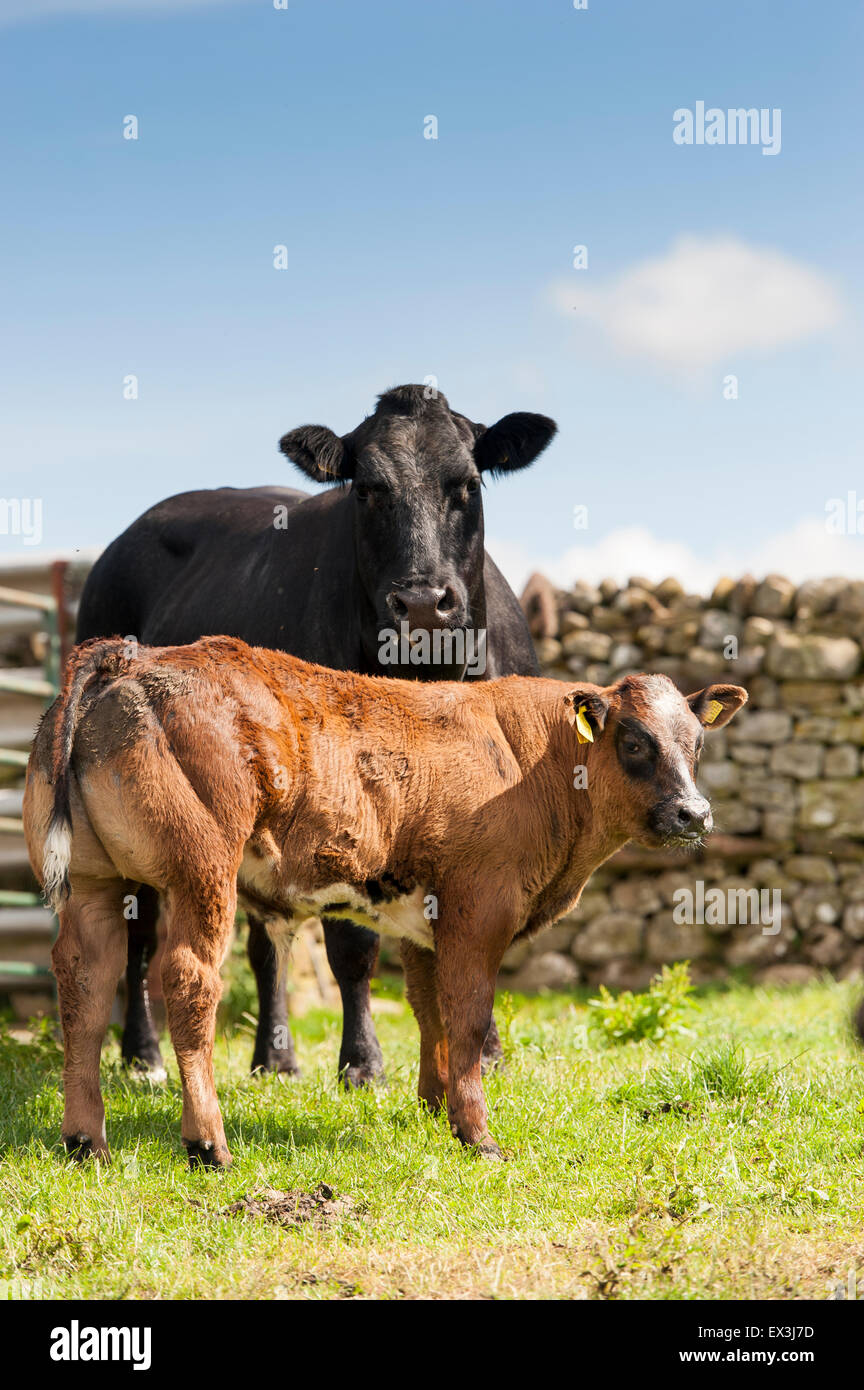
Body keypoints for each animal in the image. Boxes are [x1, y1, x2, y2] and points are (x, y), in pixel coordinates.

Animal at [23, 634, 747, 1166]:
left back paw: (85, 1140)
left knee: (85, 984)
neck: (535, 761)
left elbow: (430, 1012)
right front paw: (477, 1135)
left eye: (696, 744)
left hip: (92, 885)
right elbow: (469, 1019)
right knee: (186, 979)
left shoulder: (421, 918)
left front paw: (434, 1106)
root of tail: (134, 656)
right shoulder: (478, 911)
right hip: (200, 873)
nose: (695, 813)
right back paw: (208, 1143)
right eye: (635, 742)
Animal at [75, 385, 557, 1085]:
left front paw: (486, 1051)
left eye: (467, 484)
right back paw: (143, 1056)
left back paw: (274, 1057)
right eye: (368, 490)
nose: (421, 603)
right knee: (141, 932)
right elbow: (353, 942)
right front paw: (363, 1062)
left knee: (263, 935)